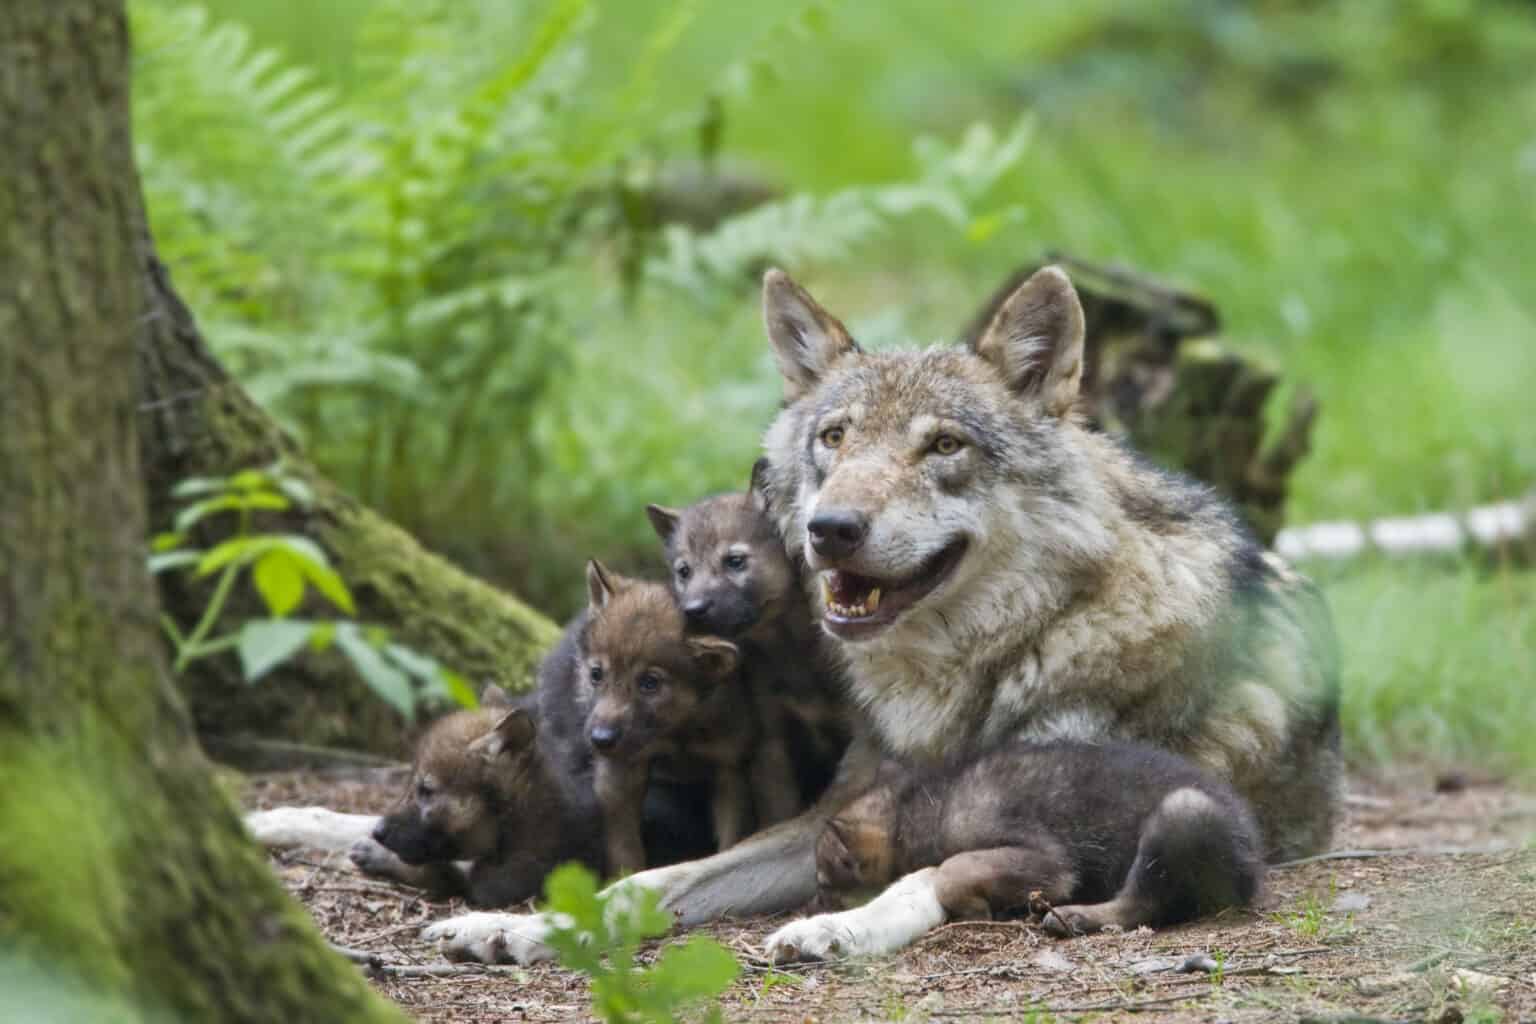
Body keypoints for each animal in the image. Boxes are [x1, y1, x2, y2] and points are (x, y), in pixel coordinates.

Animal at [646, 468, 850, 818]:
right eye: (684, 571)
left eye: (735, 561)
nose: (692, 610)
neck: (789, 647)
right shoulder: (771, 744)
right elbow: (779, 814)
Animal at [805, 740, 1263, 958]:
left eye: (824, 884)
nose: (811, 907)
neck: (922, 809)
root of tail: (1252, 867)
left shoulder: (1046, 860)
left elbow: (952, 871)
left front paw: (975, 909)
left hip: (1183, 811)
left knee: (1141, 903)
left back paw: (1074, 917)